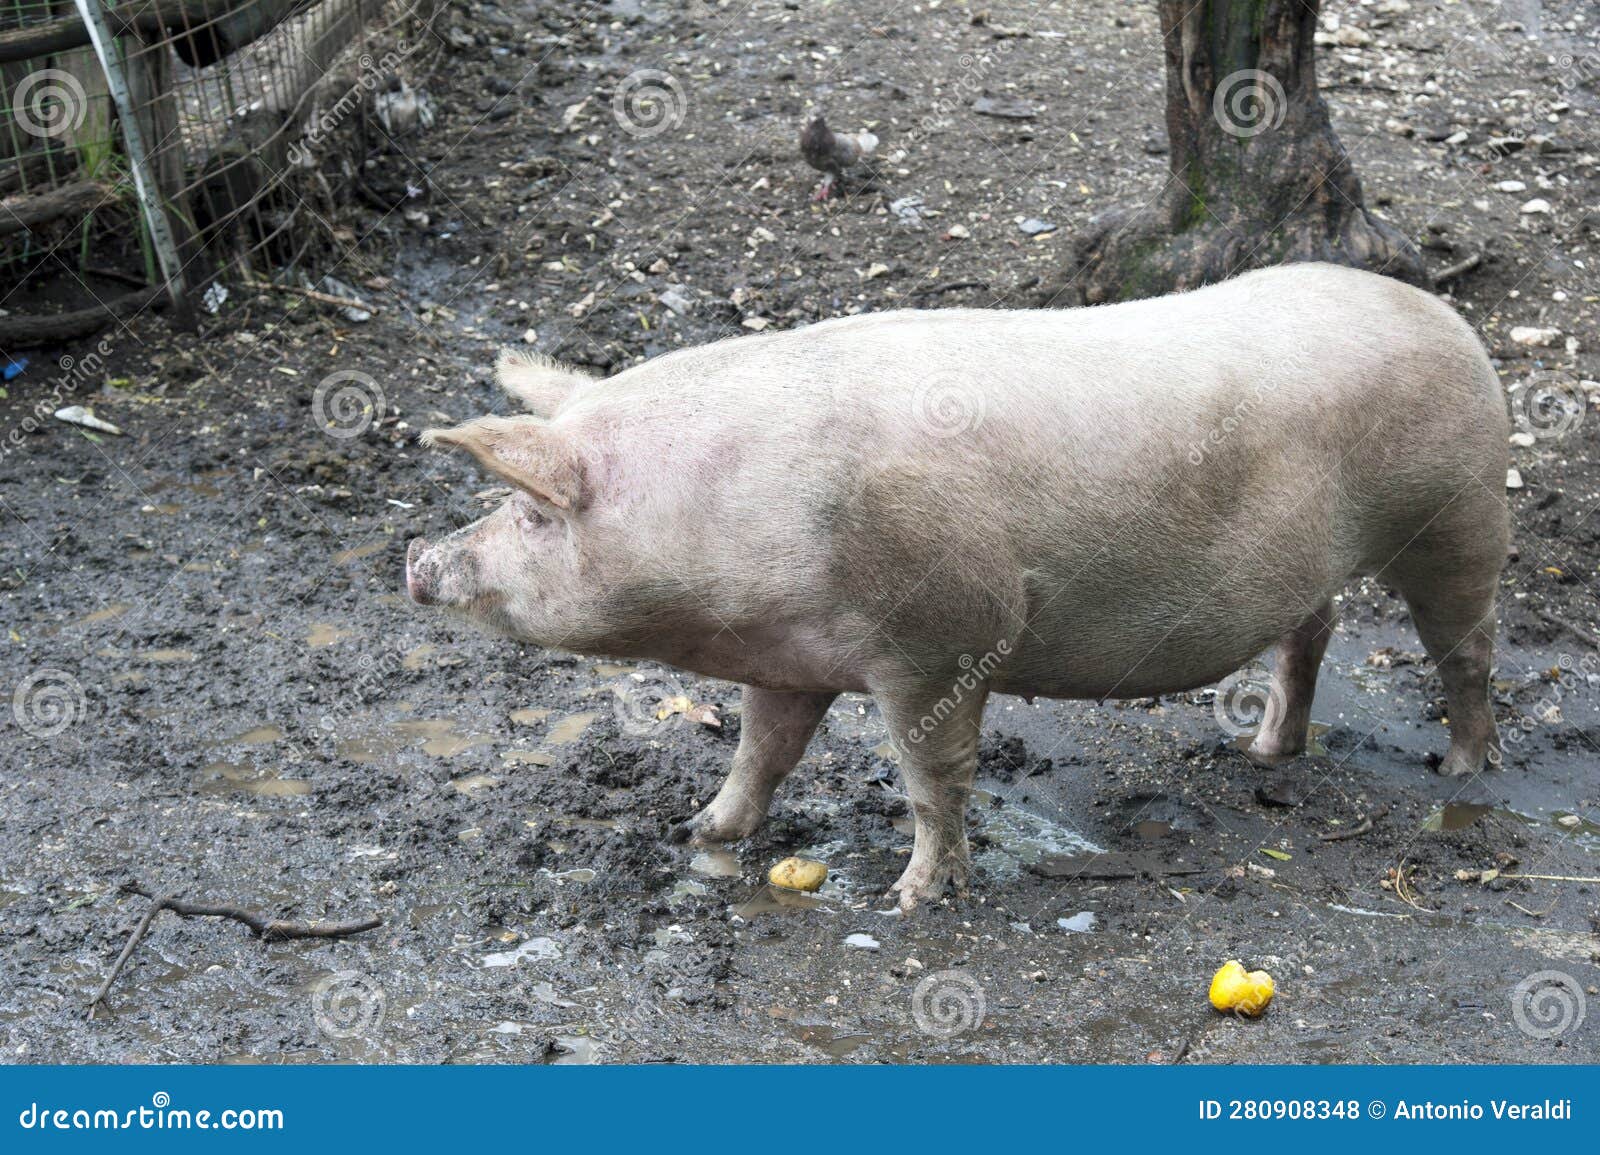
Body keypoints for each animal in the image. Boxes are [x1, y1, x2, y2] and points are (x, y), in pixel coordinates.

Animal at [406, 263, 1509, 910]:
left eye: (536, 515)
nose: (418, 560)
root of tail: (1448, 316)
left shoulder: (944, 636)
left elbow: (932, 775)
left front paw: (912, 897)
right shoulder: (789, 658)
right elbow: (763, 752)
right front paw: (699, 831)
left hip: (1456, 518)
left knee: (1466, 651)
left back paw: (1459, 772)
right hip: (1325, 564)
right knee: (1309, 632)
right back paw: (1265, 751)